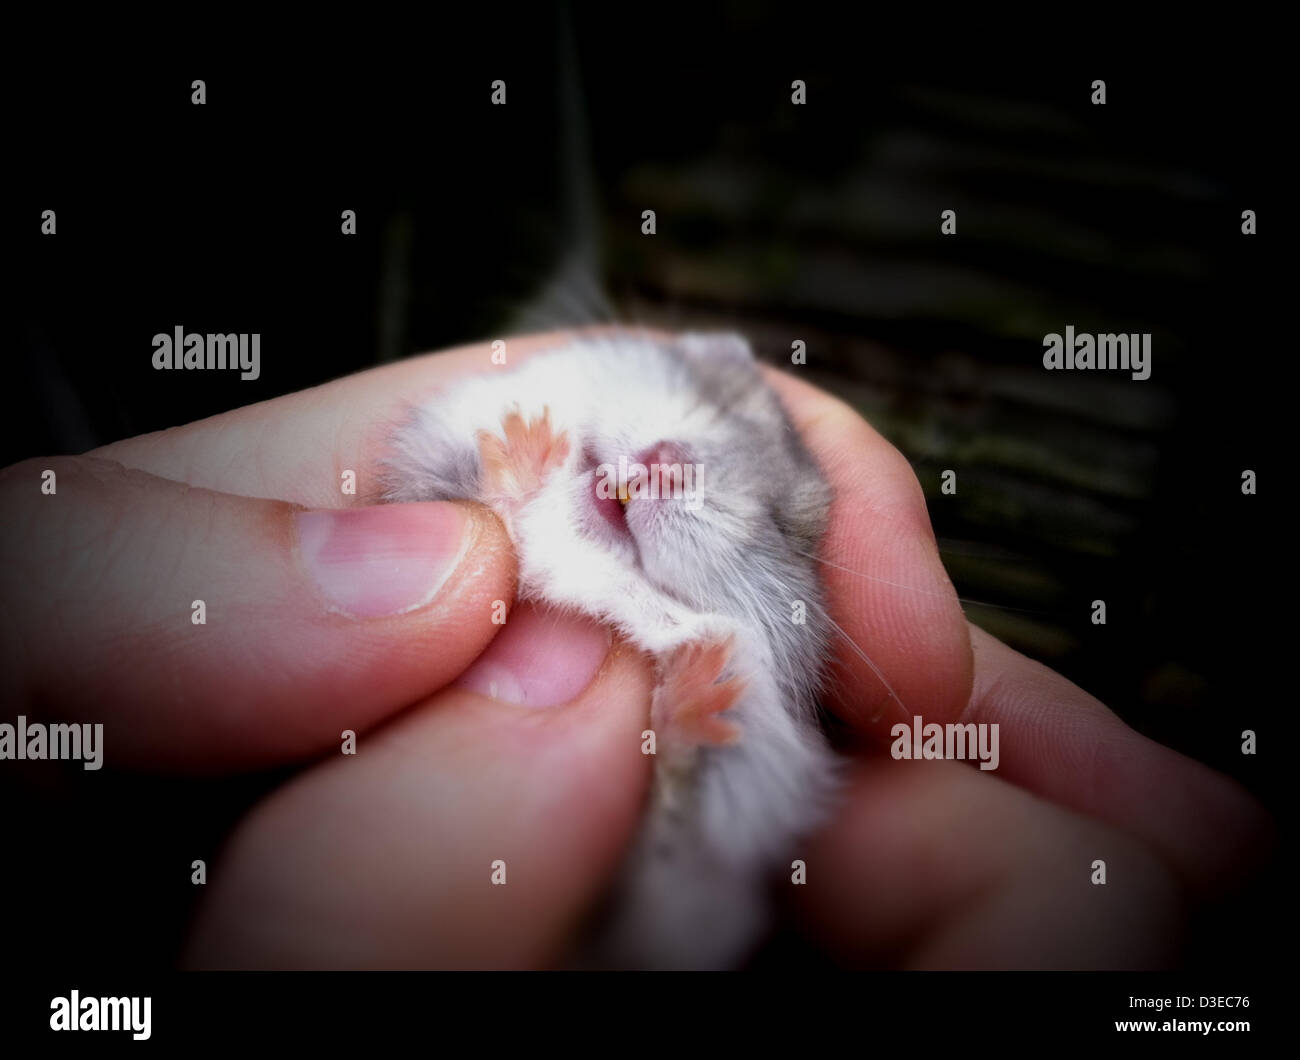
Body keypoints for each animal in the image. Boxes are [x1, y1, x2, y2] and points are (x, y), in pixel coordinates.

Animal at [382, 330, 839, 968]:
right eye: (716, 404)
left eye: (782, 528)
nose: (666, 464)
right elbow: (508, 516)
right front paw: (525, 438)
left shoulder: (713, 853)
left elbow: (678, 818)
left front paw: (705, 677)